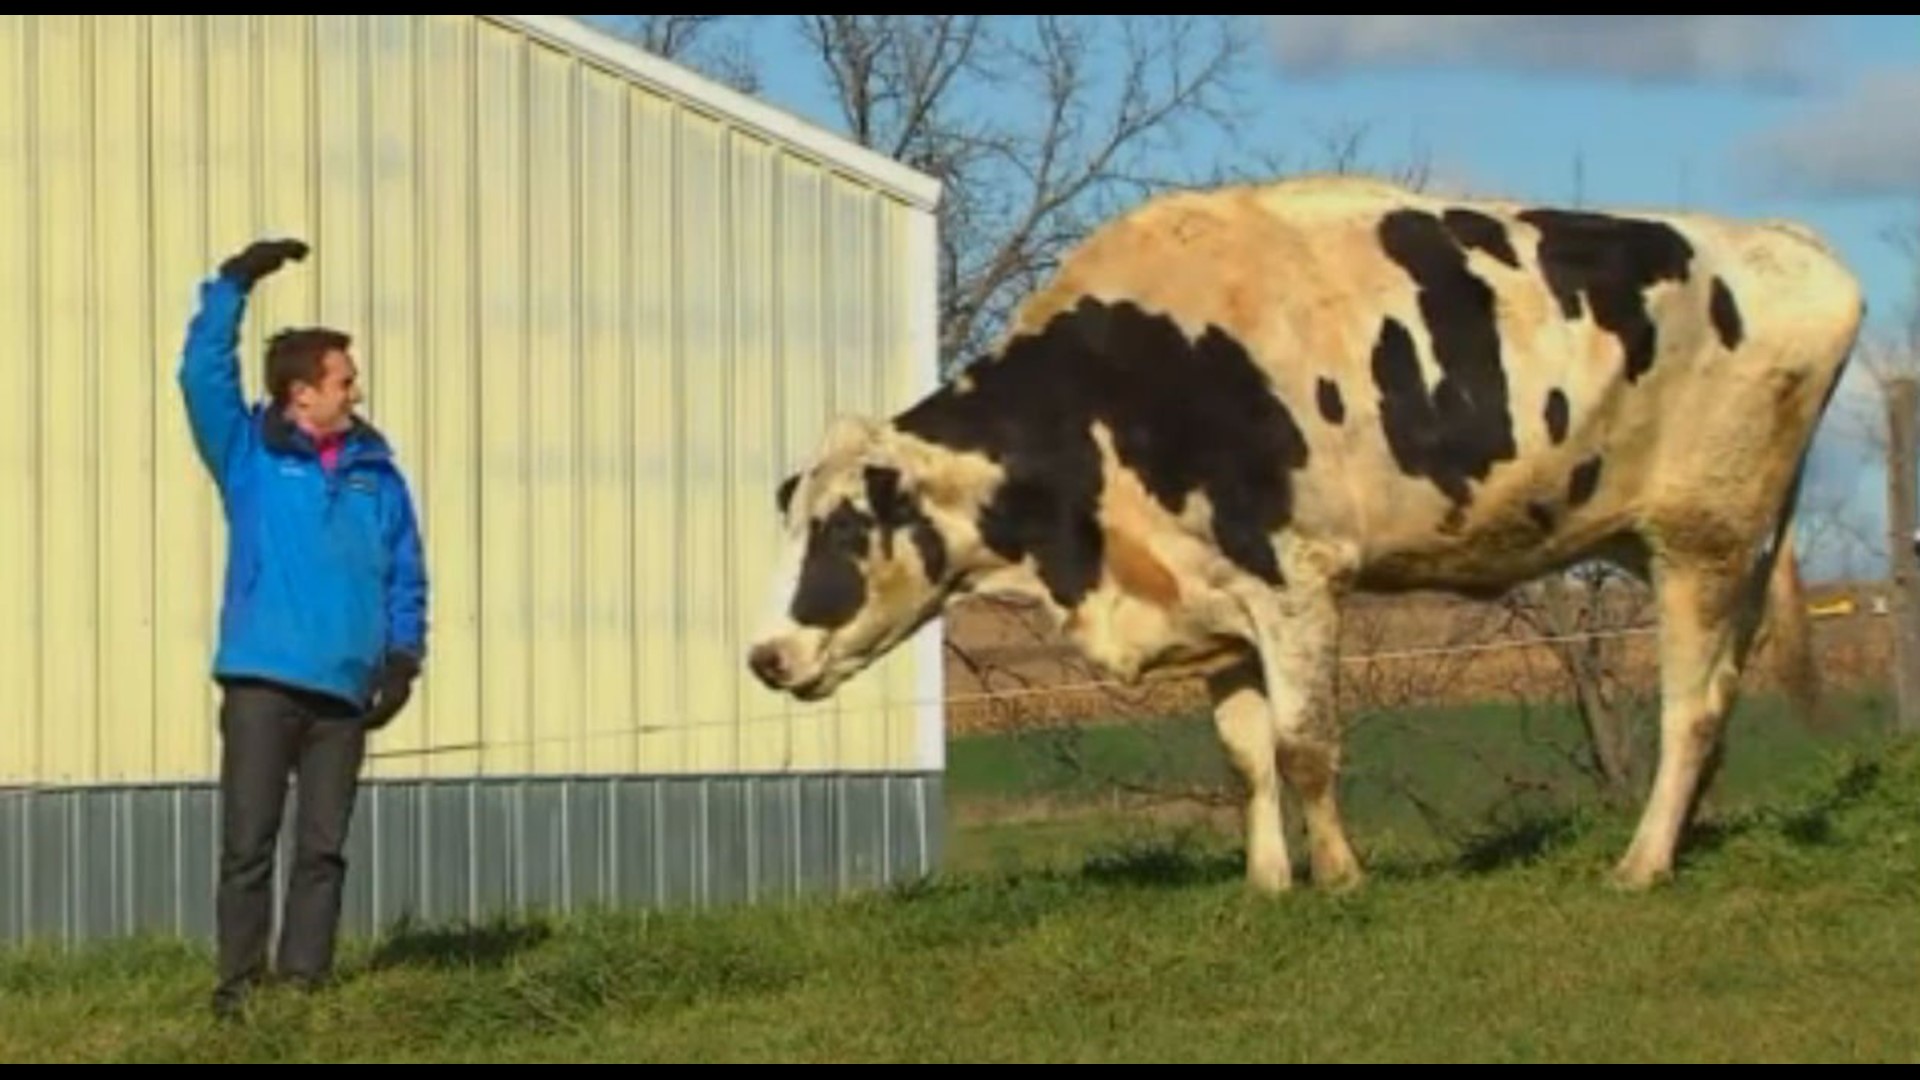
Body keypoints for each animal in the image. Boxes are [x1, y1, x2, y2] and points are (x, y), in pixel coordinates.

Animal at [745, 173, 1866, 894]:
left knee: (1690, 709)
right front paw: (1267, 883)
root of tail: (1788, 244)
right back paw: (1681, 841)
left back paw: (1638, 865)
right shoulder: (1216, 603)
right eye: (794, 520)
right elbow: (1245, 757)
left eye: (844, 530)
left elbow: (1305, 745)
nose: (764, 655)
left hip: (1702, 537)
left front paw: (1340, 876)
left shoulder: (1295, 578)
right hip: (1708, 549)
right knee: (1721, 696)